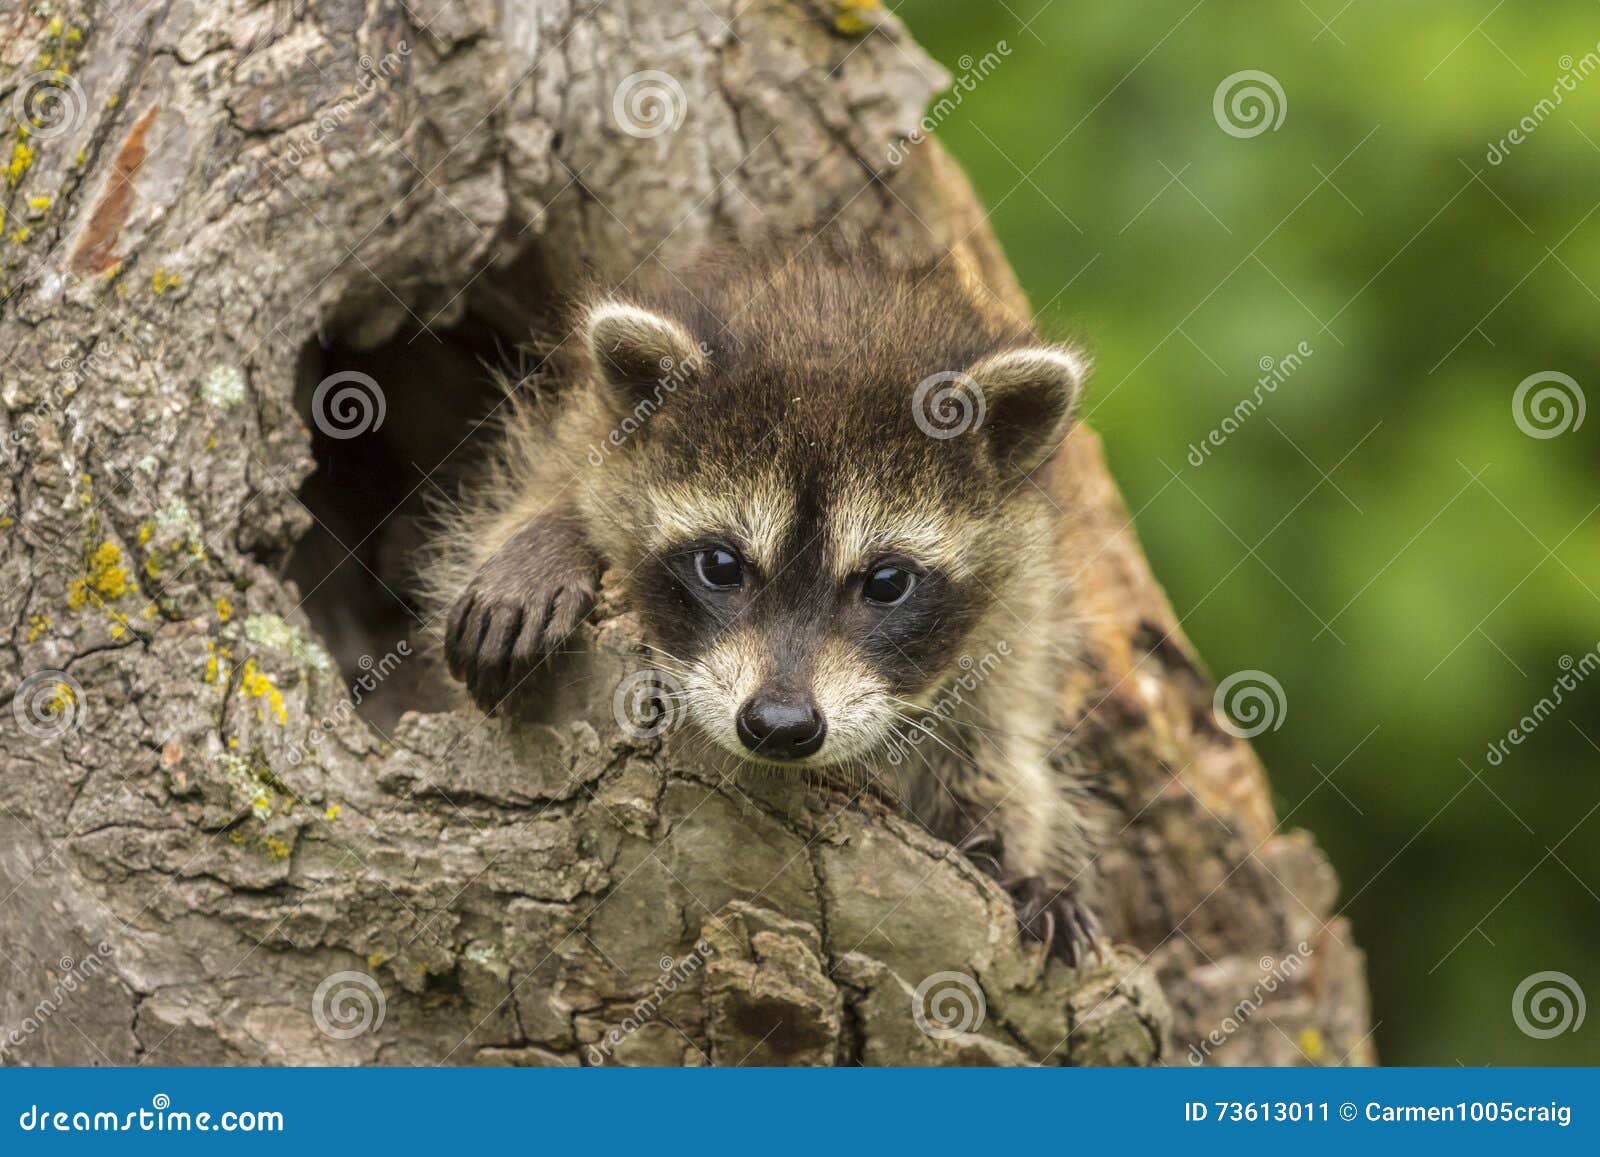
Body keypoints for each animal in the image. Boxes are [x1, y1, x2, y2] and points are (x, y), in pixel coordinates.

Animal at [432, 243, 1103, 962]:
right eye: (722, 565)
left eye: (886, 583)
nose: (780, 724)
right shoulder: (580, 440)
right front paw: (549, 541)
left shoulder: (1020, 621)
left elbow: (1000, 755)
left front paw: (1021, 865)